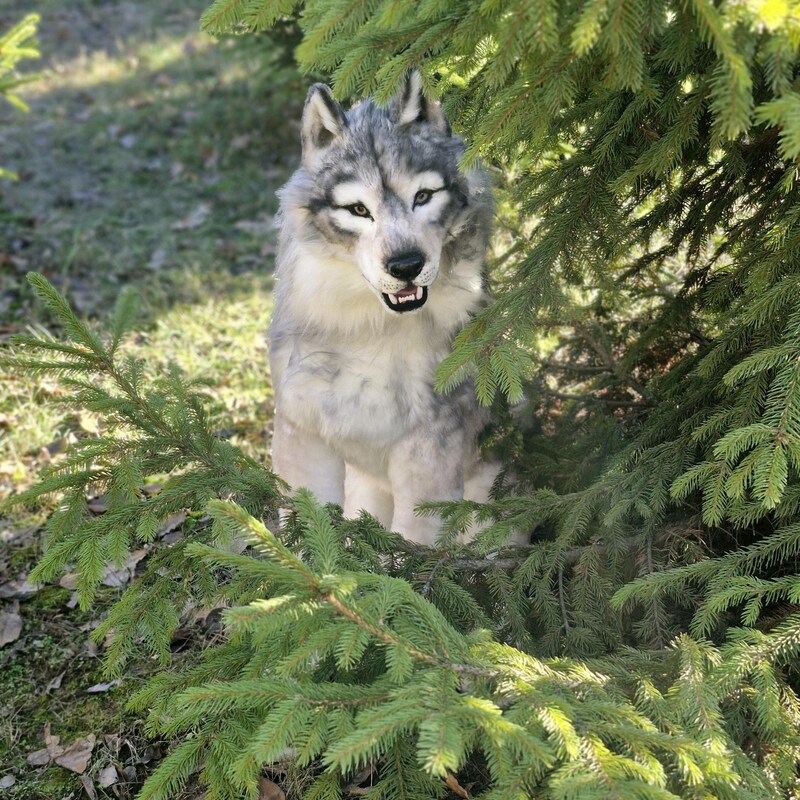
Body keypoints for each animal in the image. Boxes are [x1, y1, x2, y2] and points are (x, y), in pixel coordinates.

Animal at [268, 72, 498, 546]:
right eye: (359, 209)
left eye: (423, 196)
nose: (406, 265)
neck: (372, 329)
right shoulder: (302, 430)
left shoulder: (430, 445)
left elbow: (410, 545)